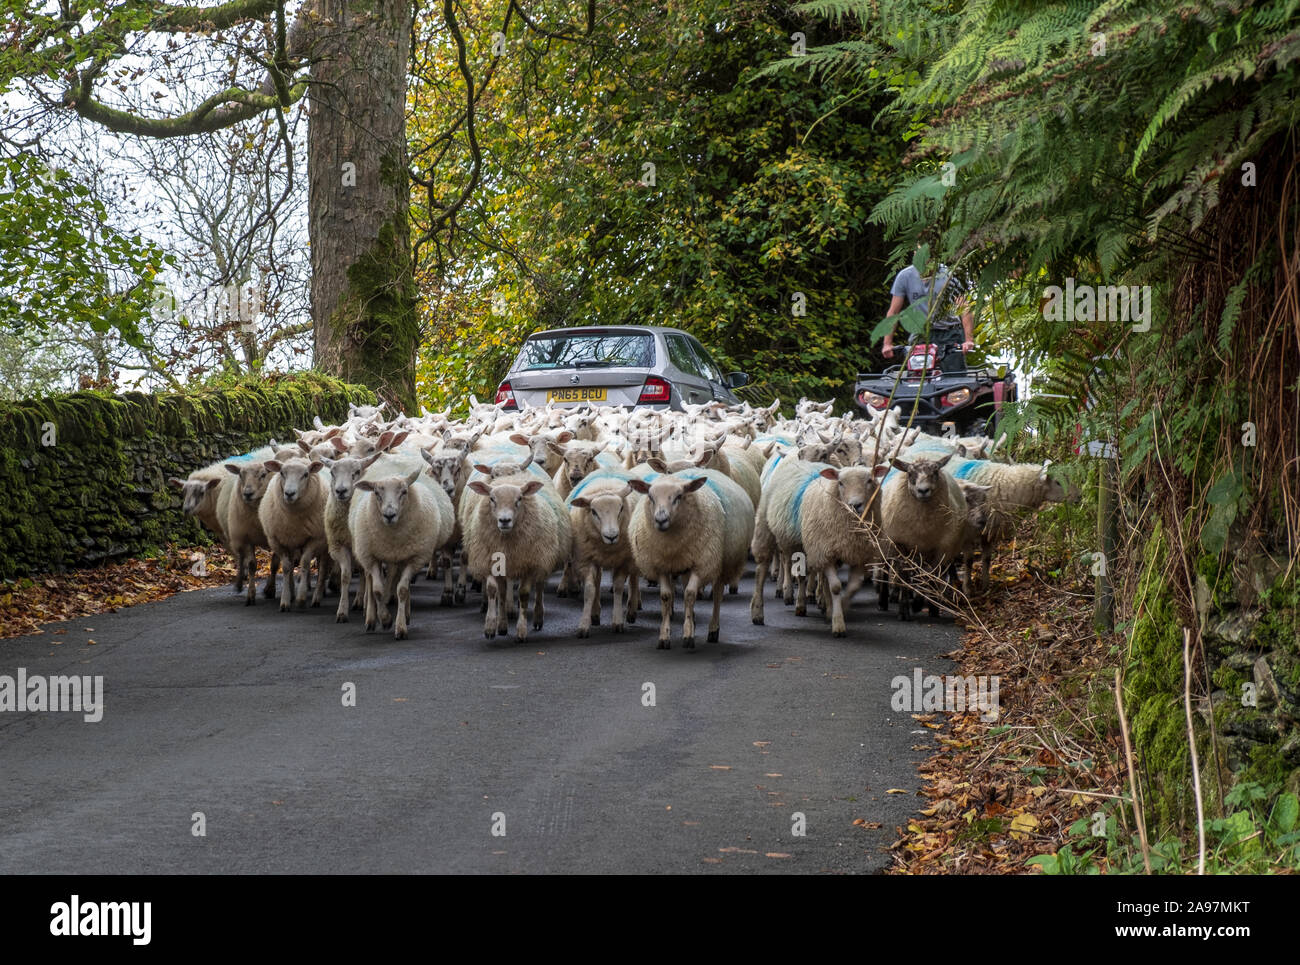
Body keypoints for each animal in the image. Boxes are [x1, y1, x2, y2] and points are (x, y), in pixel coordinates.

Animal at [258, 457, 330, 611]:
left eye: (306, 474)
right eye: (281, 473)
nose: (289, 493)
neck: (293, 518)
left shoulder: (315, 539)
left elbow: (305, 563)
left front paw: (301, 598)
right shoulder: (278, 541)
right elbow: (286, 568)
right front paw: (285, 601)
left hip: (325, 543)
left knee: (322, 570)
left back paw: (316, 598)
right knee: (291, 567)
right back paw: (292, 592)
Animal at [349, 468, 455, 639]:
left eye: (404, 491)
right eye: (376, 493)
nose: (389, 515)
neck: (393, 536)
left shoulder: (414, 559)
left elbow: (402, 589)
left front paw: (400, 626)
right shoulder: (371, 557)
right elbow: (377, 590)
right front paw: (385, 619)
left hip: (400, 556)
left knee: (396, 578)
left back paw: (406, 614)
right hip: (366, 552)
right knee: (370, 581)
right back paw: (370, 619)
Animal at [627, 468, 753, 650]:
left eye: (679, 496)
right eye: (650, 497)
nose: (660, 519)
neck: (672, 545)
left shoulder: (701, 564)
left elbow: (690, 594)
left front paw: (688, 635)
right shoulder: (661, 565)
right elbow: (666, 597)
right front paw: (664, 636)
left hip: (721, 562)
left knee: (717, 595)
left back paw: (713, 630)